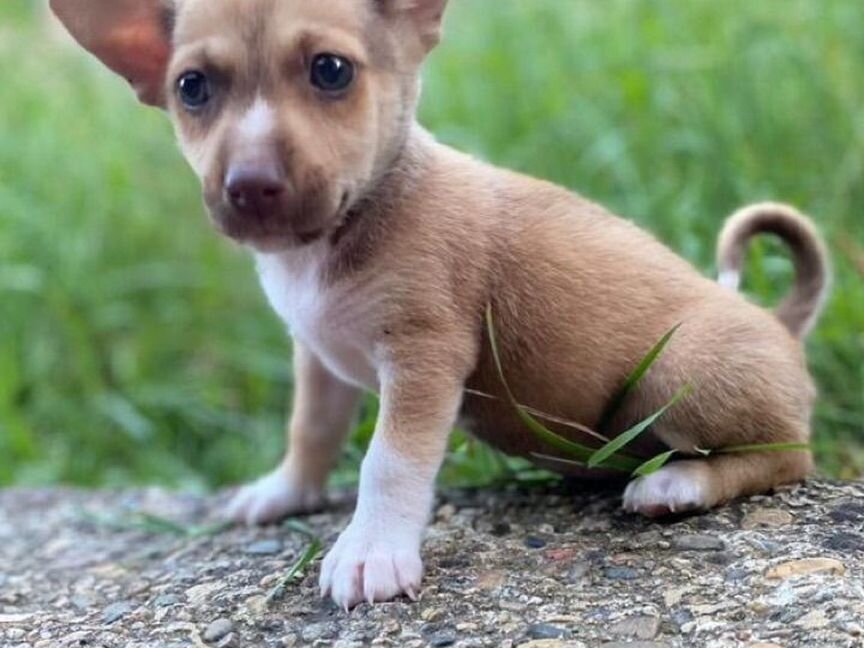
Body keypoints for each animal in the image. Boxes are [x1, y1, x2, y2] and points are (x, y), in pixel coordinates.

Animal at [52, 0, 832, 612]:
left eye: (331, 71)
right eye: (191, 88)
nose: (250, 185)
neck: (338, 233)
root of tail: (778, 322)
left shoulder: (423, 358)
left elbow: (387, 461)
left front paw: (370, 550)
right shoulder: (319, 361)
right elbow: (310, 432)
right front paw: (284, 492)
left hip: (677, 373)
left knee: (788, 455)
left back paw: (678, 482)